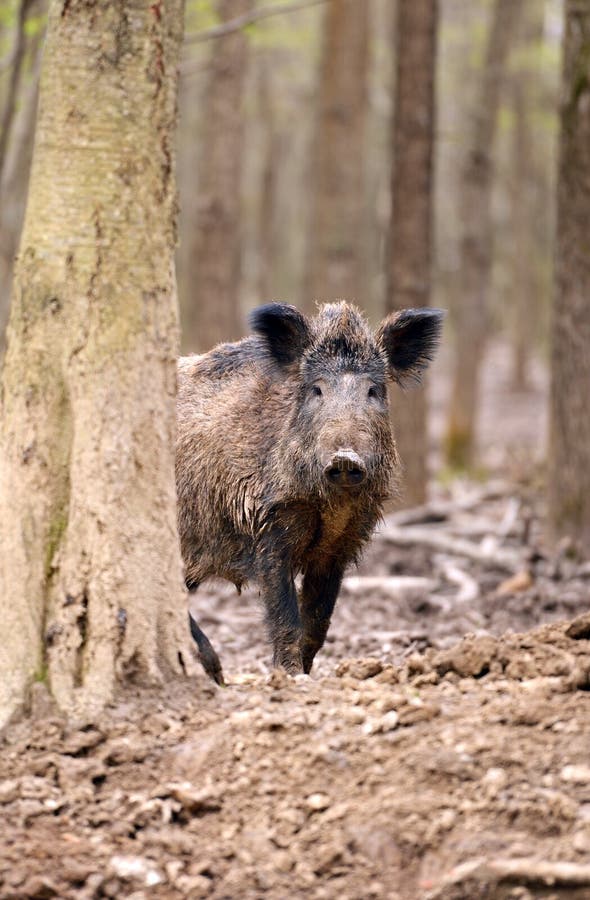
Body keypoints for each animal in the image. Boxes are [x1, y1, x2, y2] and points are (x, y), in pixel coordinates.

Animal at [176, 301, 443, 684]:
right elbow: (285, 615)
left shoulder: (342, 545)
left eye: (374, 390)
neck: (330, 508)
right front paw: (291, 677)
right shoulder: (266, 528)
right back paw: (217, 675)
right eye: (316, 390)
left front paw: (305, 672)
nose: (345, 458)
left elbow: (318, 621)